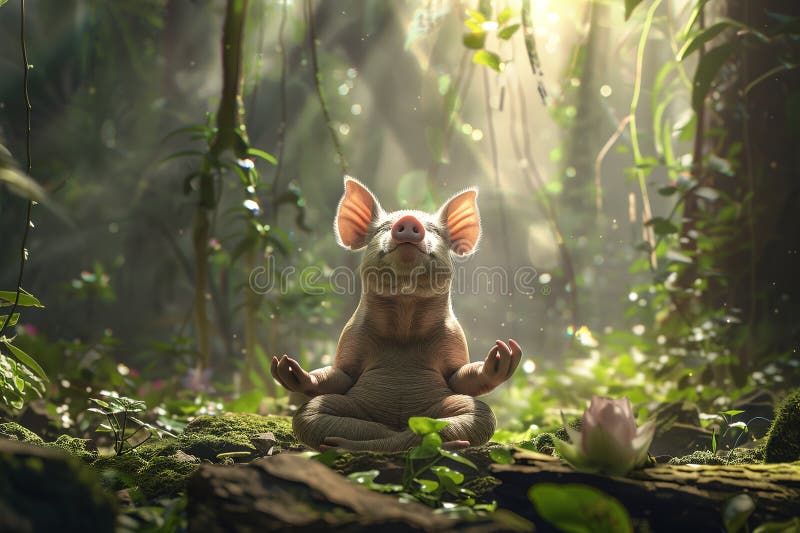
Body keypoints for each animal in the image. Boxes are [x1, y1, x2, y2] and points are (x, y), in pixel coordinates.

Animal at [270, 177, 523, 451]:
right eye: (383, 228)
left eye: (435, 231)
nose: (409, 220)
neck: (404, 319)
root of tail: (398, 425)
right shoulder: (351, 335)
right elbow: (340, 375)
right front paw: (286, 367)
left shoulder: (455, 338)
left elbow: (460, 377)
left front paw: (504, 353)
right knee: (315, 414)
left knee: (477, 414)